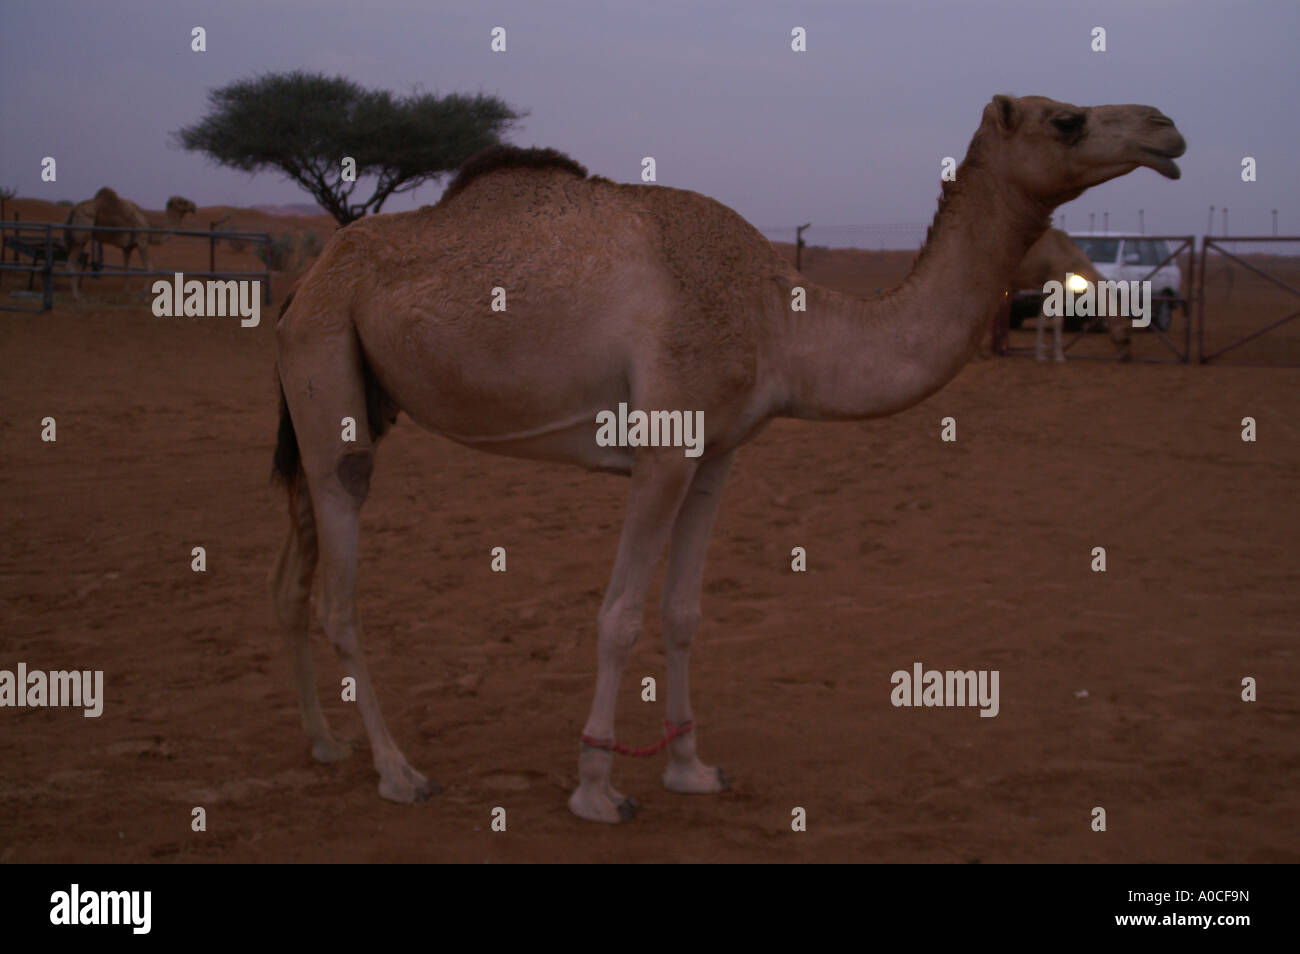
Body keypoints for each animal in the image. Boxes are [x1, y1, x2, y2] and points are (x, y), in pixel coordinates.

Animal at [63, 188, 196, 298]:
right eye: (182, 202)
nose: (194, 206)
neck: (149, 225)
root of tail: (74, 209)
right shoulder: (142, 242)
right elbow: (149, 268)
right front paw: (143, 293)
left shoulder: (127, 247)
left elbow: (126, 268)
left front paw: (127, 292)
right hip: (81, 236)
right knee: (70, 264)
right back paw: (77, 296)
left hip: (78, 240)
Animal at [1010, 228, 1131, 362]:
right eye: (1127, 331)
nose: (1127, 357)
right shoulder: (1056, 280)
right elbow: (1058, 320)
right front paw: (1059, 357)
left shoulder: (1047, 287)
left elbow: (1042, 318)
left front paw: (1040, 355)